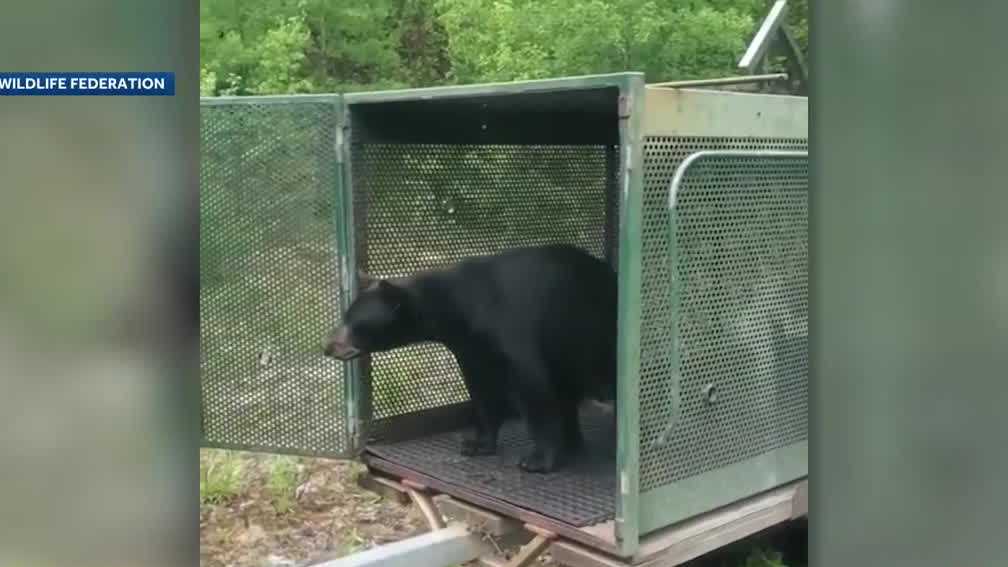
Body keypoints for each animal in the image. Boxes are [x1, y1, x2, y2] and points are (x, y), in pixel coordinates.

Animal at [322, 243, 618, 473]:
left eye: (354, 325)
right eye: (344, 317)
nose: (327, 346)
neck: (462, 308)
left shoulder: (513, 327)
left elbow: (534, 389)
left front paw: (537, 460)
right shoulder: (471, 347)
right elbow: (481, 390)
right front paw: (476, 444)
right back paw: (573, 443)